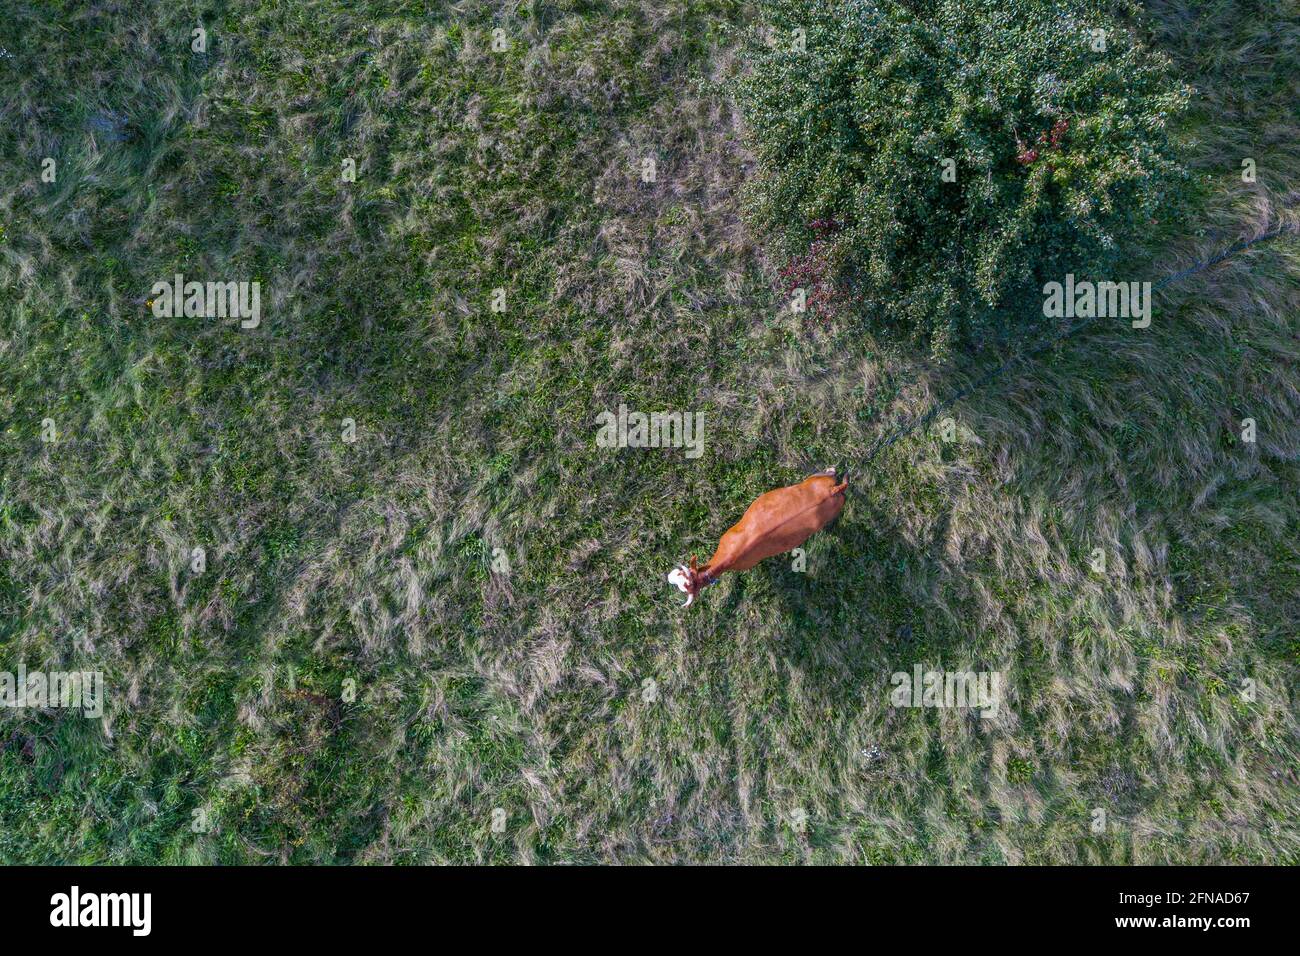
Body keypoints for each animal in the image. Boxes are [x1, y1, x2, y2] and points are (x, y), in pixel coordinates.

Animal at [668, 468, 848, 606]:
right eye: (679, 575)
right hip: (818, 483)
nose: (668, 577)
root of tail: (833, 490)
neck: (730, 556)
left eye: (682, 585)